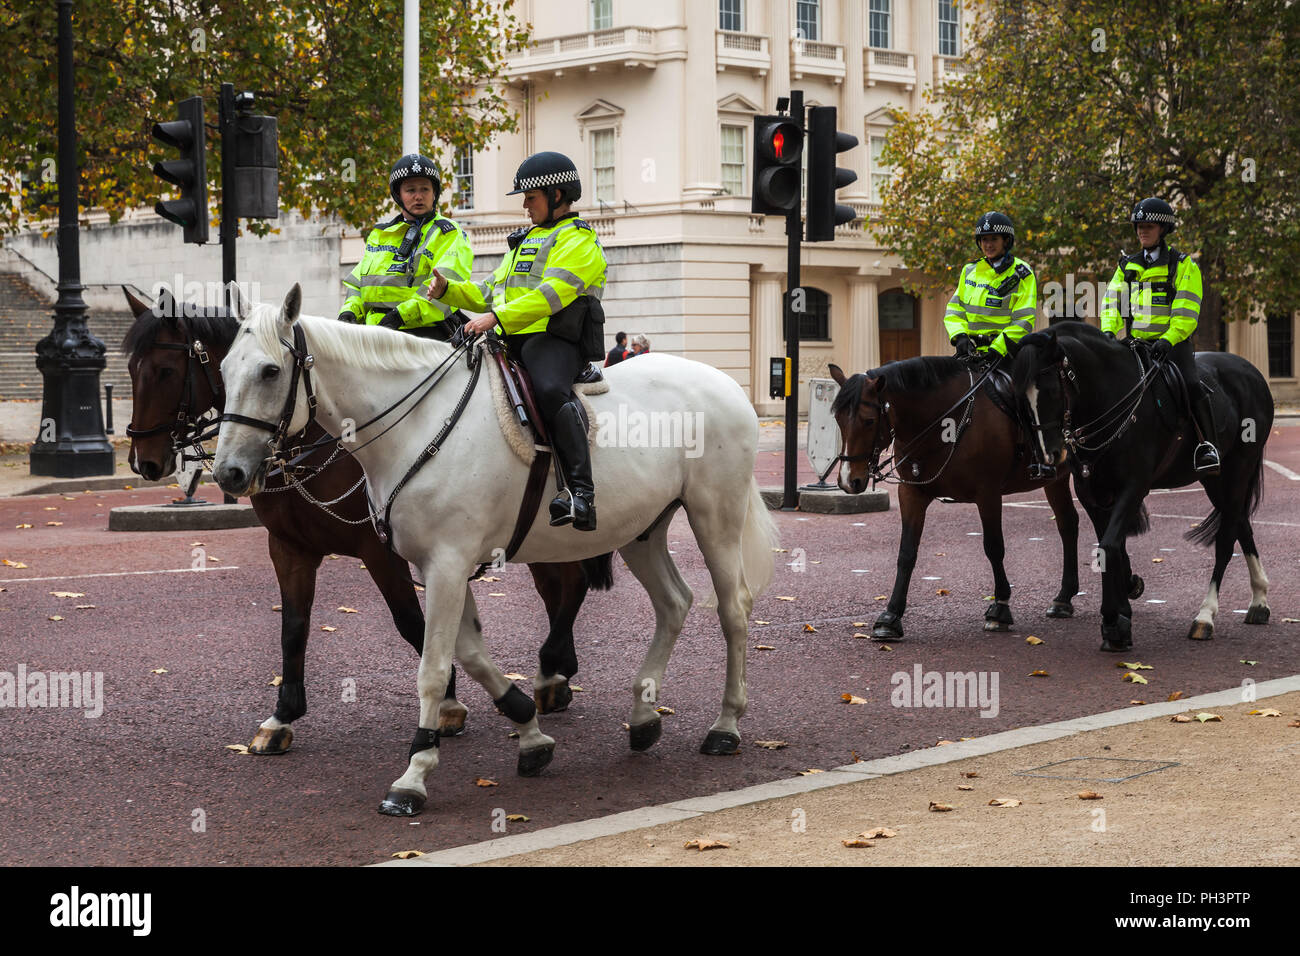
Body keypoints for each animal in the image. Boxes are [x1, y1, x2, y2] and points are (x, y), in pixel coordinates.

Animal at [121, 289, 610, 758]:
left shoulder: (381, 549)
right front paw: (282, 717)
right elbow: (293, 627)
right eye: (130, 368)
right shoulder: (289, 546)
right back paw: (556, 671)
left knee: (570, 582)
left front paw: (448, 704)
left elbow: (411, 623)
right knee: (561, 583)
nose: (144, 461)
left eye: (165, 371)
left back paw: (552, 670)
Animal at [212, 286, 777, 815]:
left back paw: (725, 725)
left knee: (733, 609)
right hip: (641, 530)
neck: (417, 424)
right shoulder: (434, 565)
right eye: (222, 368)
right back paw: (641, 716)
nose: (229, 474)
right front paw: (530, 733)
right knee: (674, 603)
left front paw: (414, 775)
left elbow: (433, 667)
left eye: (269, 370)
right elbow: (468, 654)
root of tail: (724, 380)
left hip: (715, 516)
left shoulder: (445, 562)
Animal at [826, 357, 1080, 641]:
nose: (849, 480)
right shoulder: (912, 493)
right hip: (1056, 479)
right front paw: (891, 616)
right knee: (1068, 524)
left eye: (869, 421)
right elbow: (907, 553)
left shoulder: (988, 493)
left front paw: (1000, 608)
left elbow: (994, 548)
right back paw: (1064, 597)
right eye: (837, 419)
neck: (946, 421)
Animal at [1012, 322, 1273, 651]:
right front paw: (1123, 602)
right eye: (1020, 398)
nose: (1048, 458)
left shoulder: (1134, 487)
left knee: (1226, 538)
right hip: (1216, 479)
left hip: (1239, 468)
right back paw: (1259, 600)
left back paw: (1205, 616)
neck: (1112, 398)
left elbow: (1110, 545)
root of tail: (1251, 370)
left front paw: (1115, 622)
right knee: (1241, 525)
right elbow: (1109, 546)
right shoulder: (1092, 492)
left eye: (1050, 390)